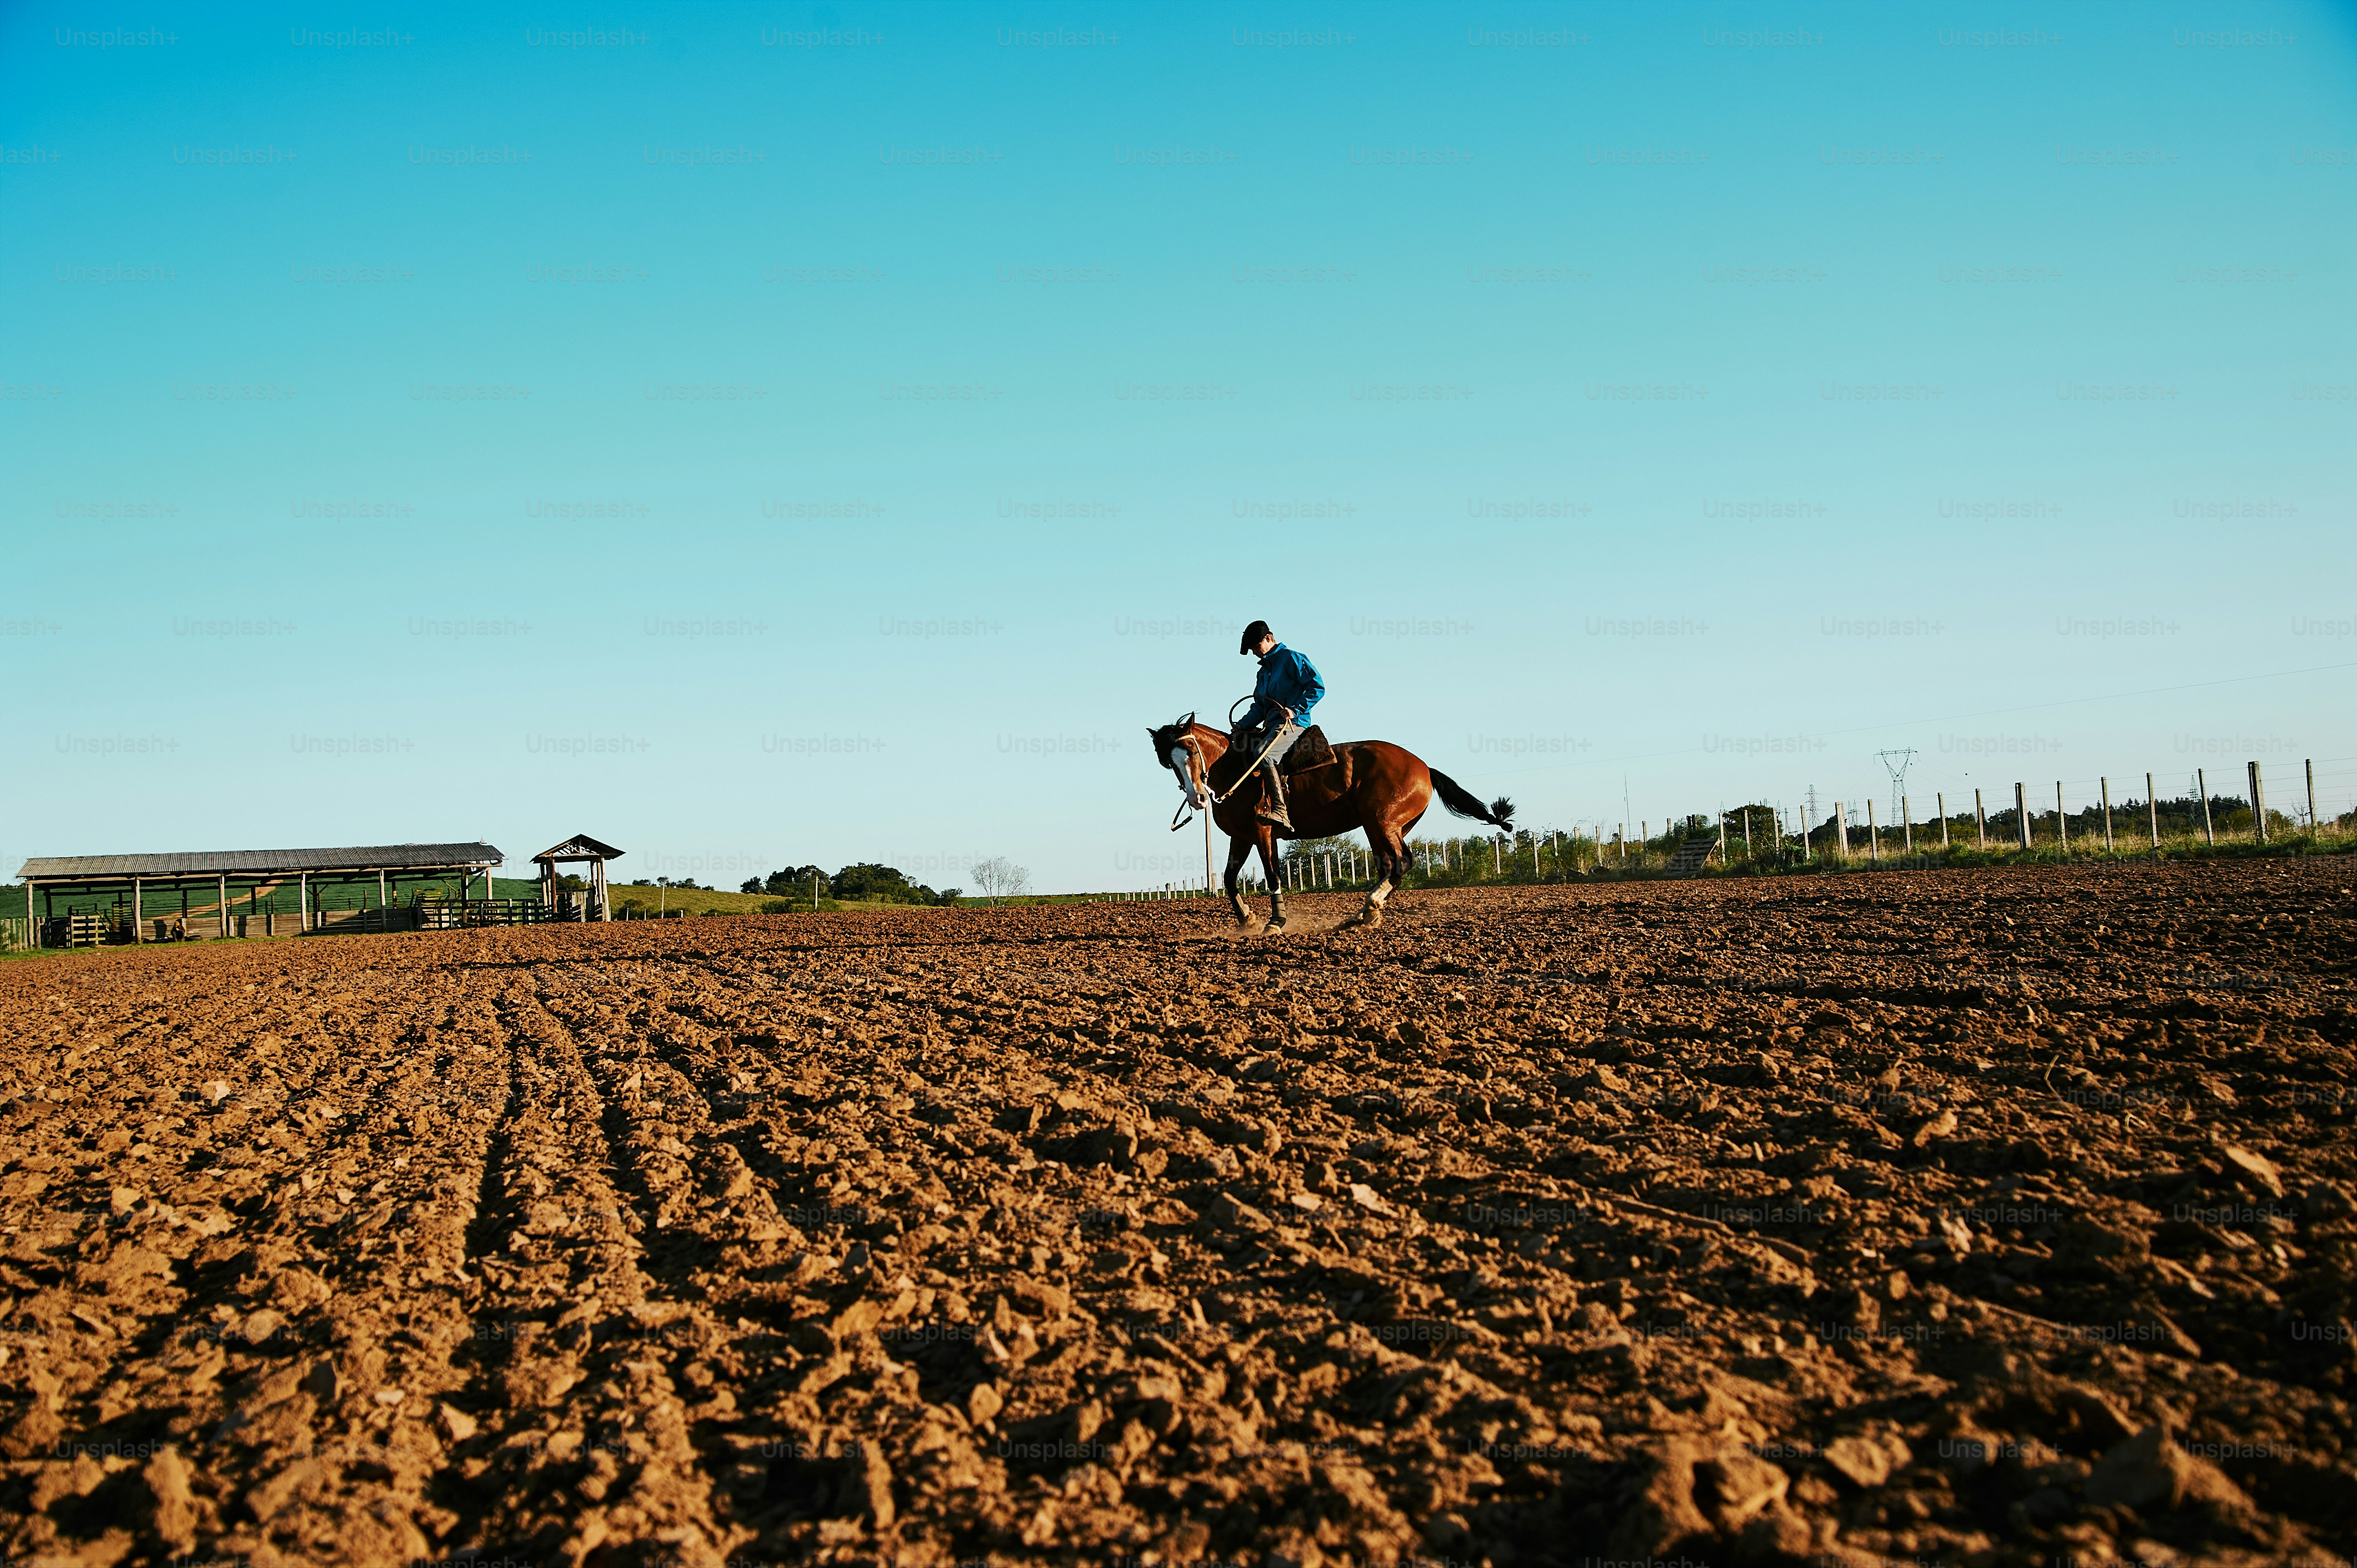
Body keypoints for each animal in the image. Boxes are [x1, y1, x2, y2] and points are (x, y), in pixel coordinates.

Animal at [1146, 713, 1514, 932]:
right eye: (1170, 762)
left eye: (1191, 752)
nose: (1197, 799)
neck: (1239, 769)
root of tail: (1422, 766)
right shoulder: (1241, 837)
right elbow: (1227, 878)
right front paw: (1247, 919)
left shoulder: (1262, 833)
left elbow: (1272, 875)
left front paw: (1275, 921)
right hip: (1379, 827)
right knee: (1388, 865)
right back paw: (1366, 914)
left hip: (1383, 822)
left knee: (1403, 861)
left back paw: (1371, 906)